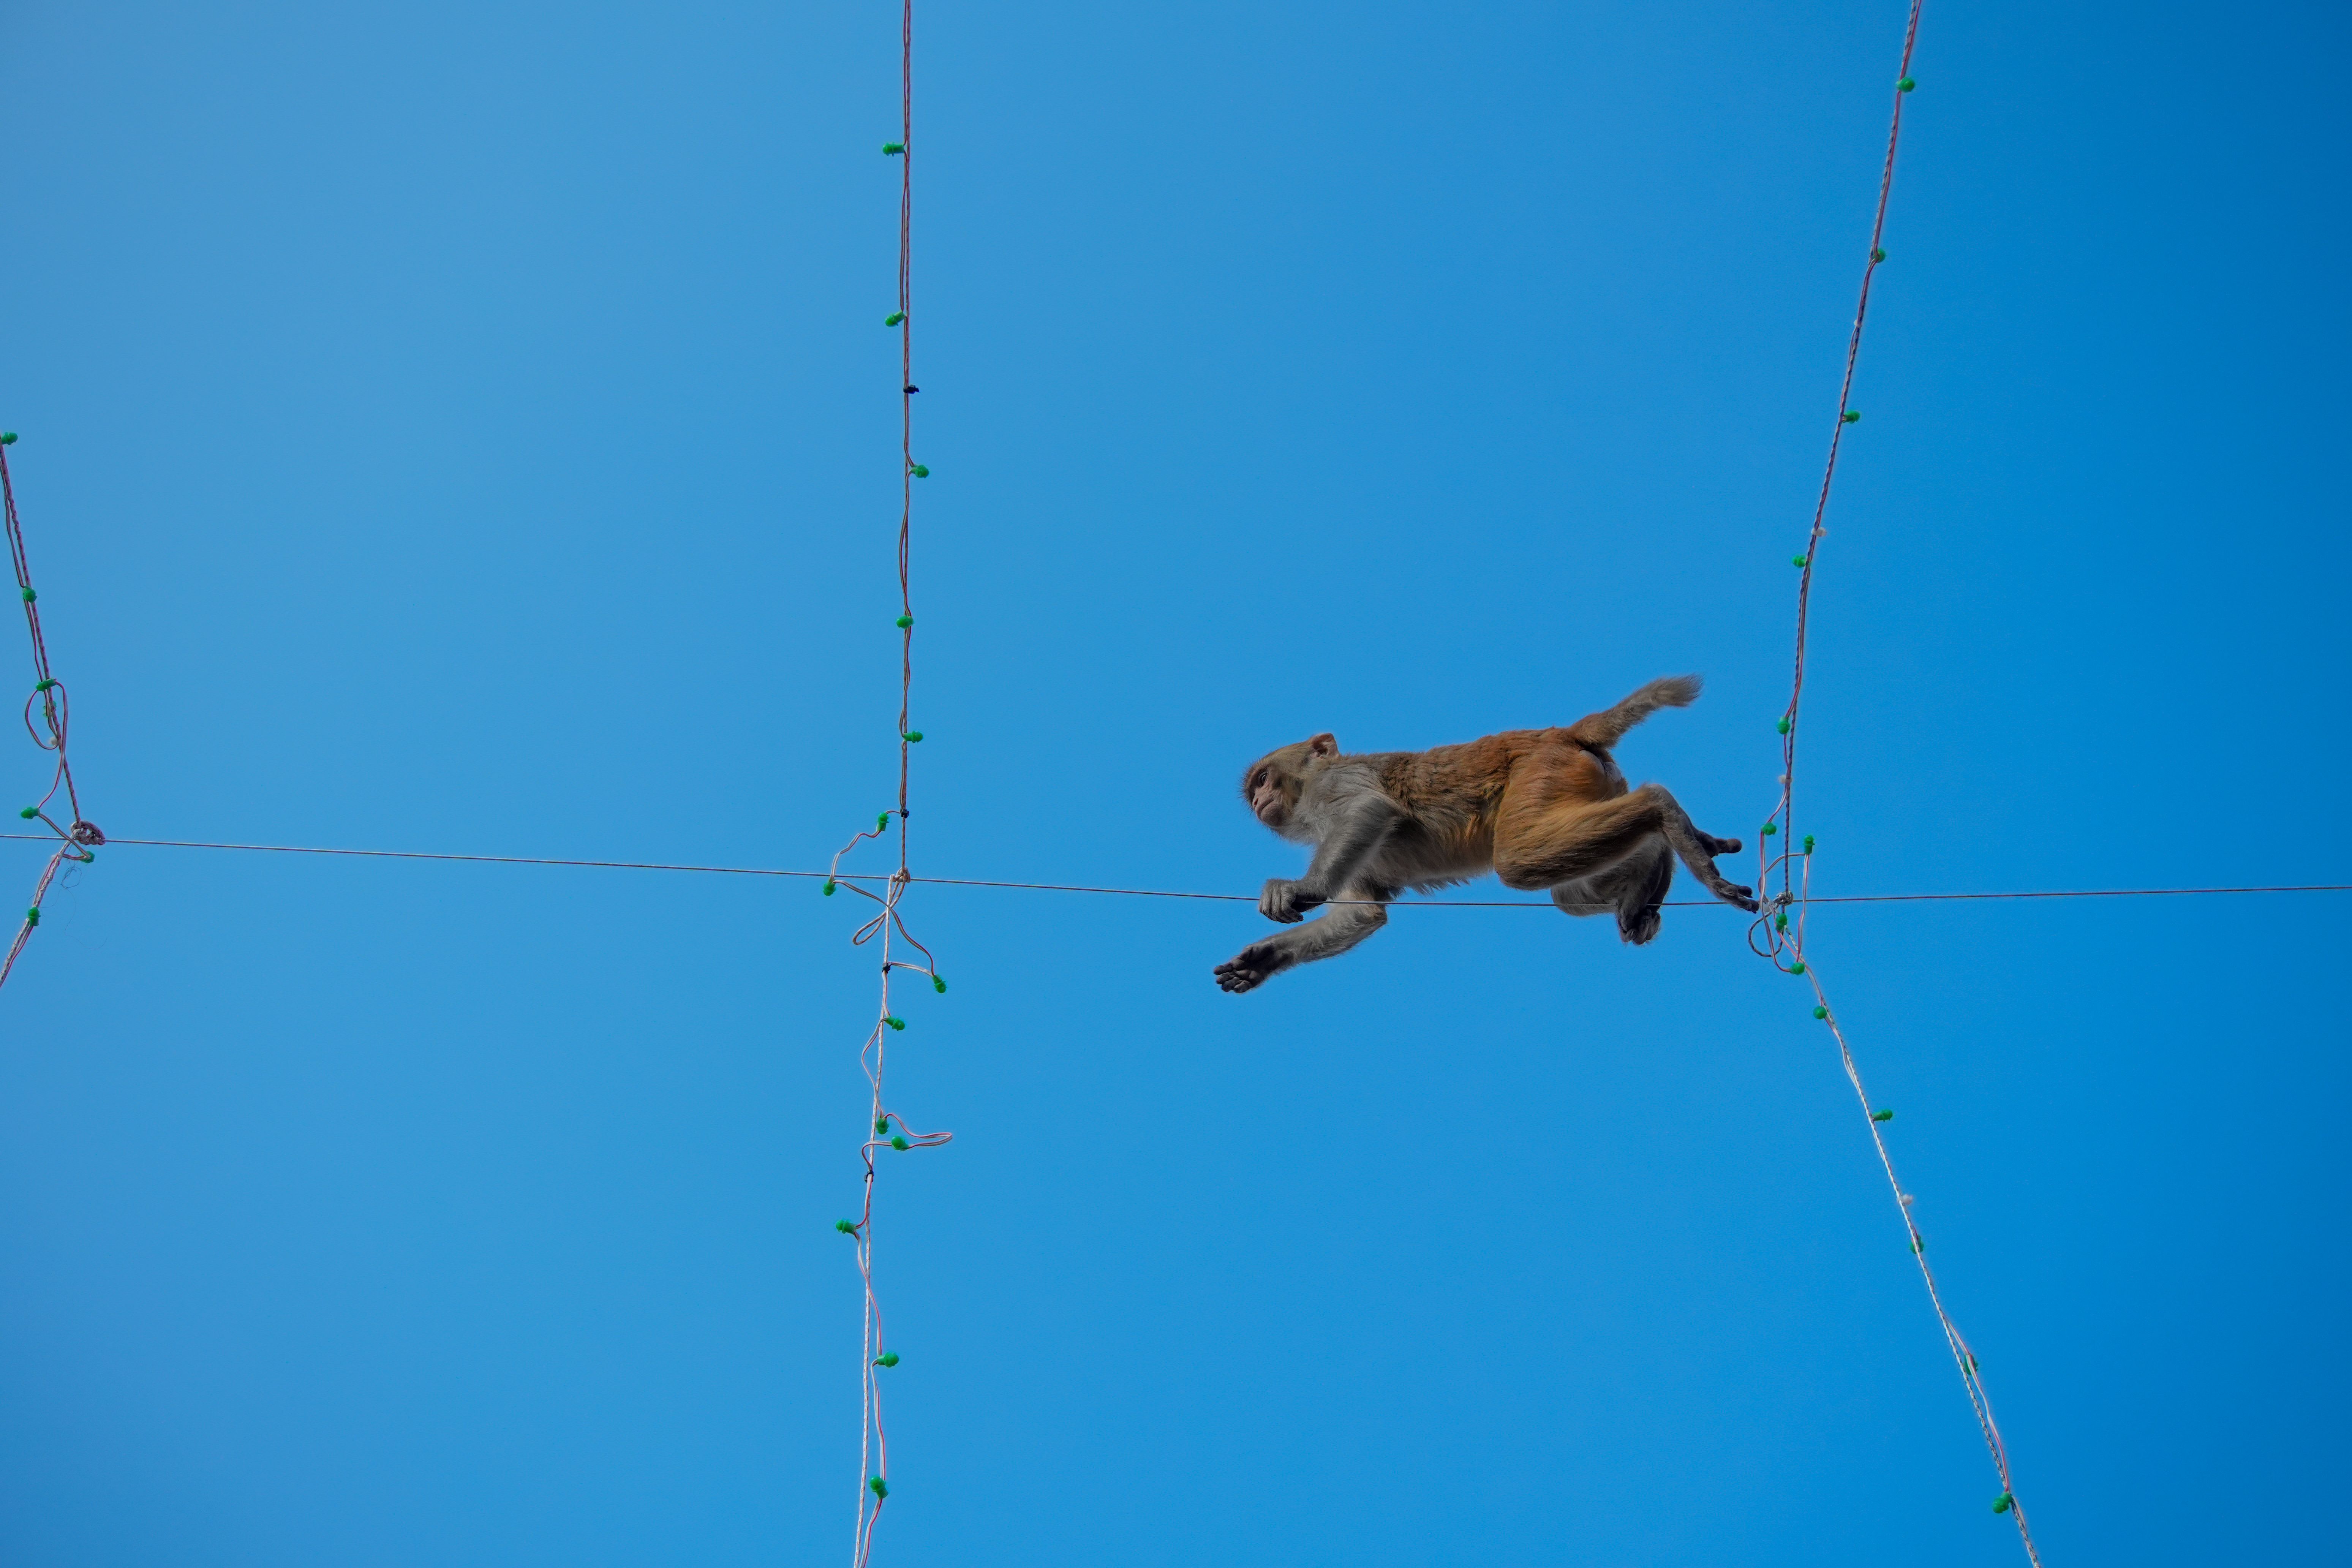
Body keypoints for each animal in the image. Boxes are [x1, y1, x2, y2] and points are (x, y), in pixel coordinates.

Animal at [1213, 675, 1757, 994]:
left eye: (1265, 779)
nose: (1259, 802)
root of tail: (1561, 734)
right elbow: (1362, 915)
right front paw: (1262, 959)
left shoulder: (1332, 788)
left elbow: (1368, 811)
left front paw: (1302, 889)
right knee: (1569, 892)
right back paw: (1653, 873)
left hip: (1542, 773)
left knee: (1521, 862)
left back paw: (1660, 810)